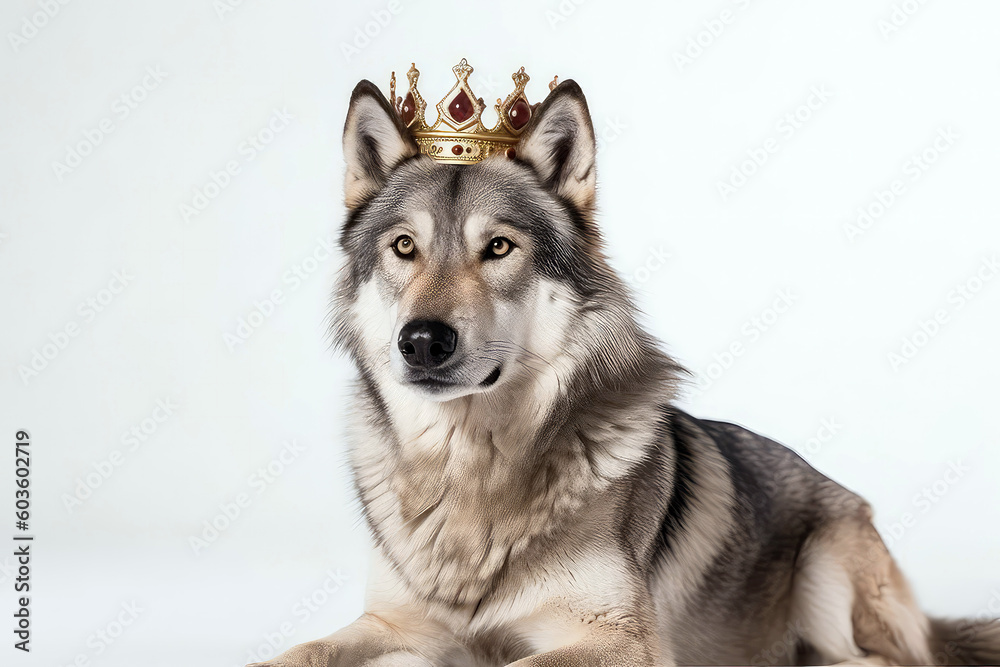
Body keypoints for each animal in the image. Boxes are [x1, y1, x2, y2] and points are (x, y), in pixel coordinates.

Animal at [250, 76, 1000, 666]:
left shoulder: (619, 638)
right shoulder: (394, 623)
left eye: (499, 248)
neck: (472, 471)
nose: (423, 341)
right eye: (404, 247)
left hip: (825, 568)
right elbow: (297, 650)